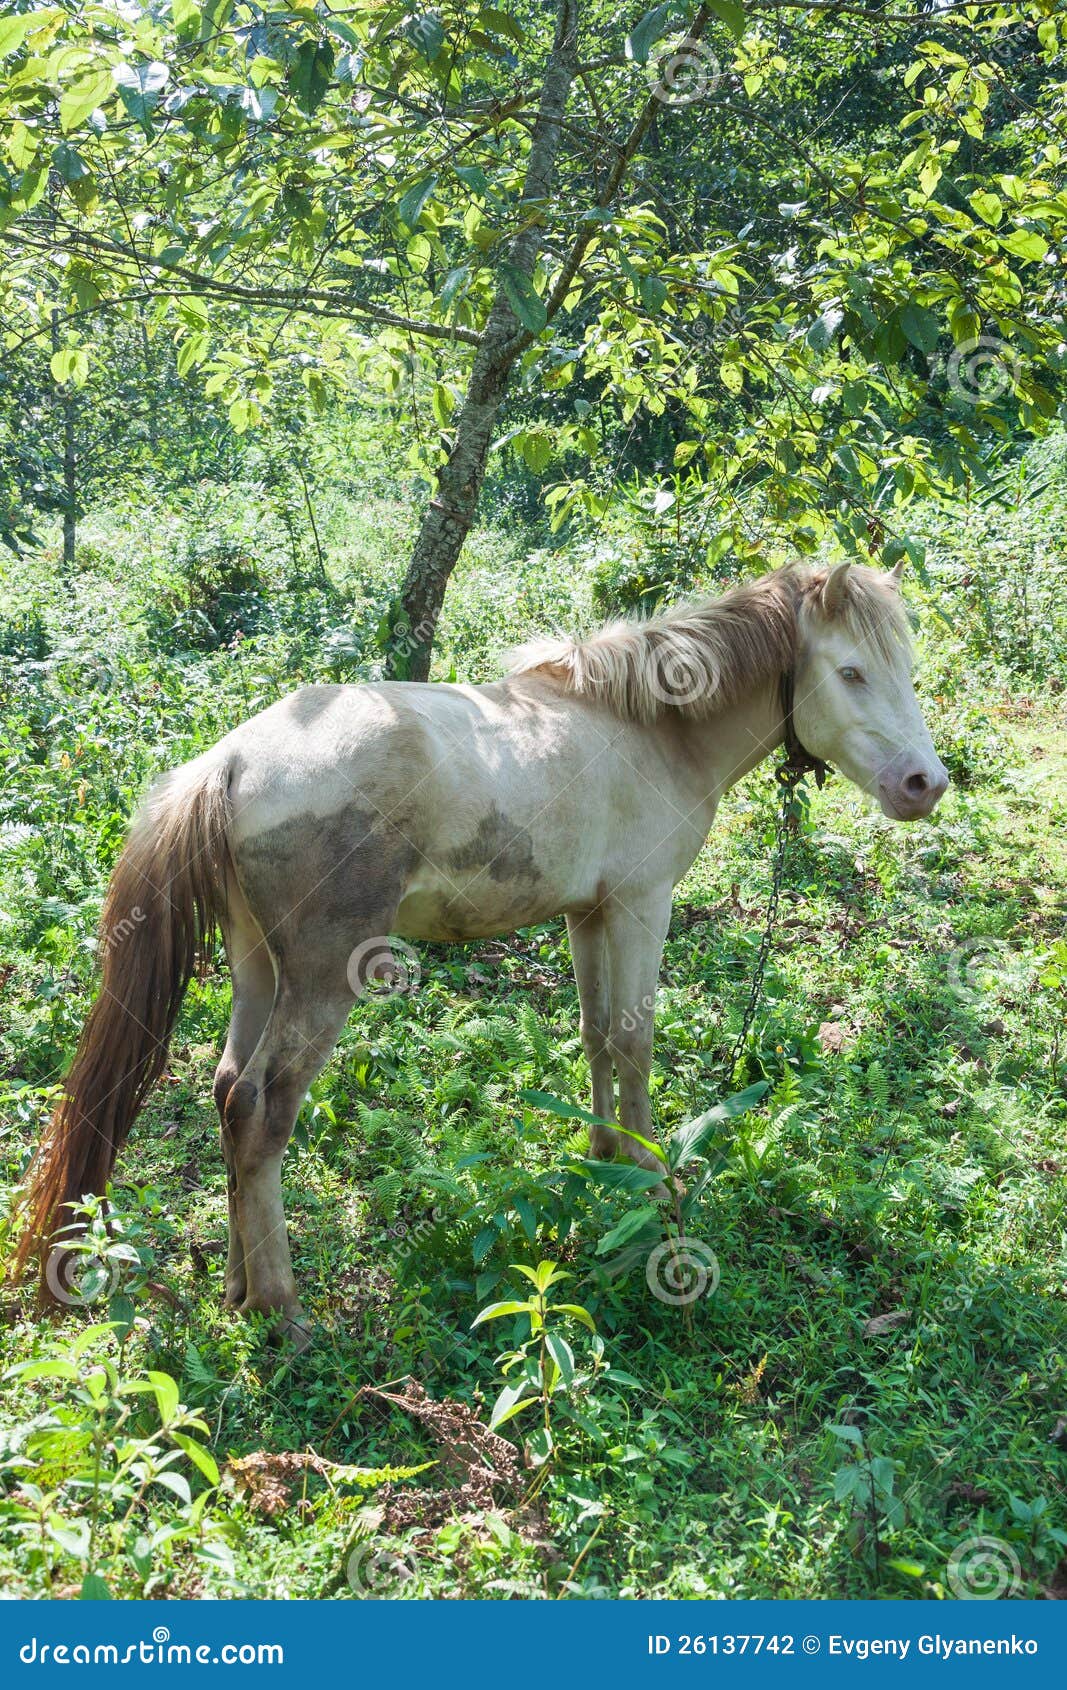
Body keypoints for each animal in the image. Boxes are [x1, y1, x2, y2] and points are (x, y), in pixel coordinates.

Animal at [14, 557, 948, 1340]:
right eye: (851, 672)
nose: (924, 784)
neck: (653, 728)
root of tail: (233, 759)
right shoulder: (641, 908)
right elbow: (636, 1044)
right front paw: (653, 1185)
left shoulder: (588, 916)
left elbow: (596, 1037)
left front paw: (602, 1166)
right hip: (320, 979)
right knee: (259, 1108)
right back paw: (282, 1311)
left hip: (256, 967)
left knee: (224, 1090)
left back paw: (241, 1290)